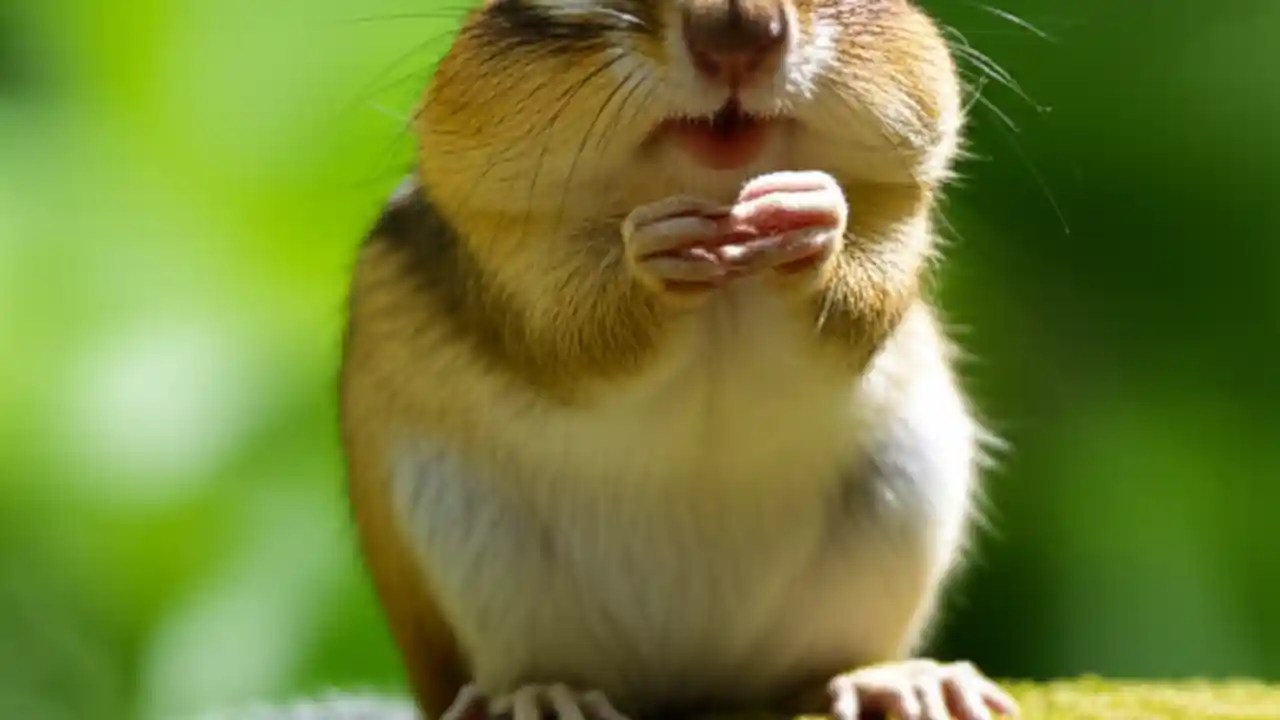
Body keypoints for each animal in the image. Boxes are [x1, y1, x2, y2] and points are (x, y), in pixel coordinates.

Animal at [339, 0, 1019, 718]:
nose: (738, 41)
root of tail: (694, 680)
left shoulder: (902, 196)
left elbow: (868, 300)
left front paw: (817, 219)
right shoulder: (500, 247)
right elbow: (567, 337)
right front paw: (651, 253)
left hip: (901, 497)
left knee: (816, 670)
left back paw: (894, 679)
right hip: (467, 541)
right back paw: (542, 694)